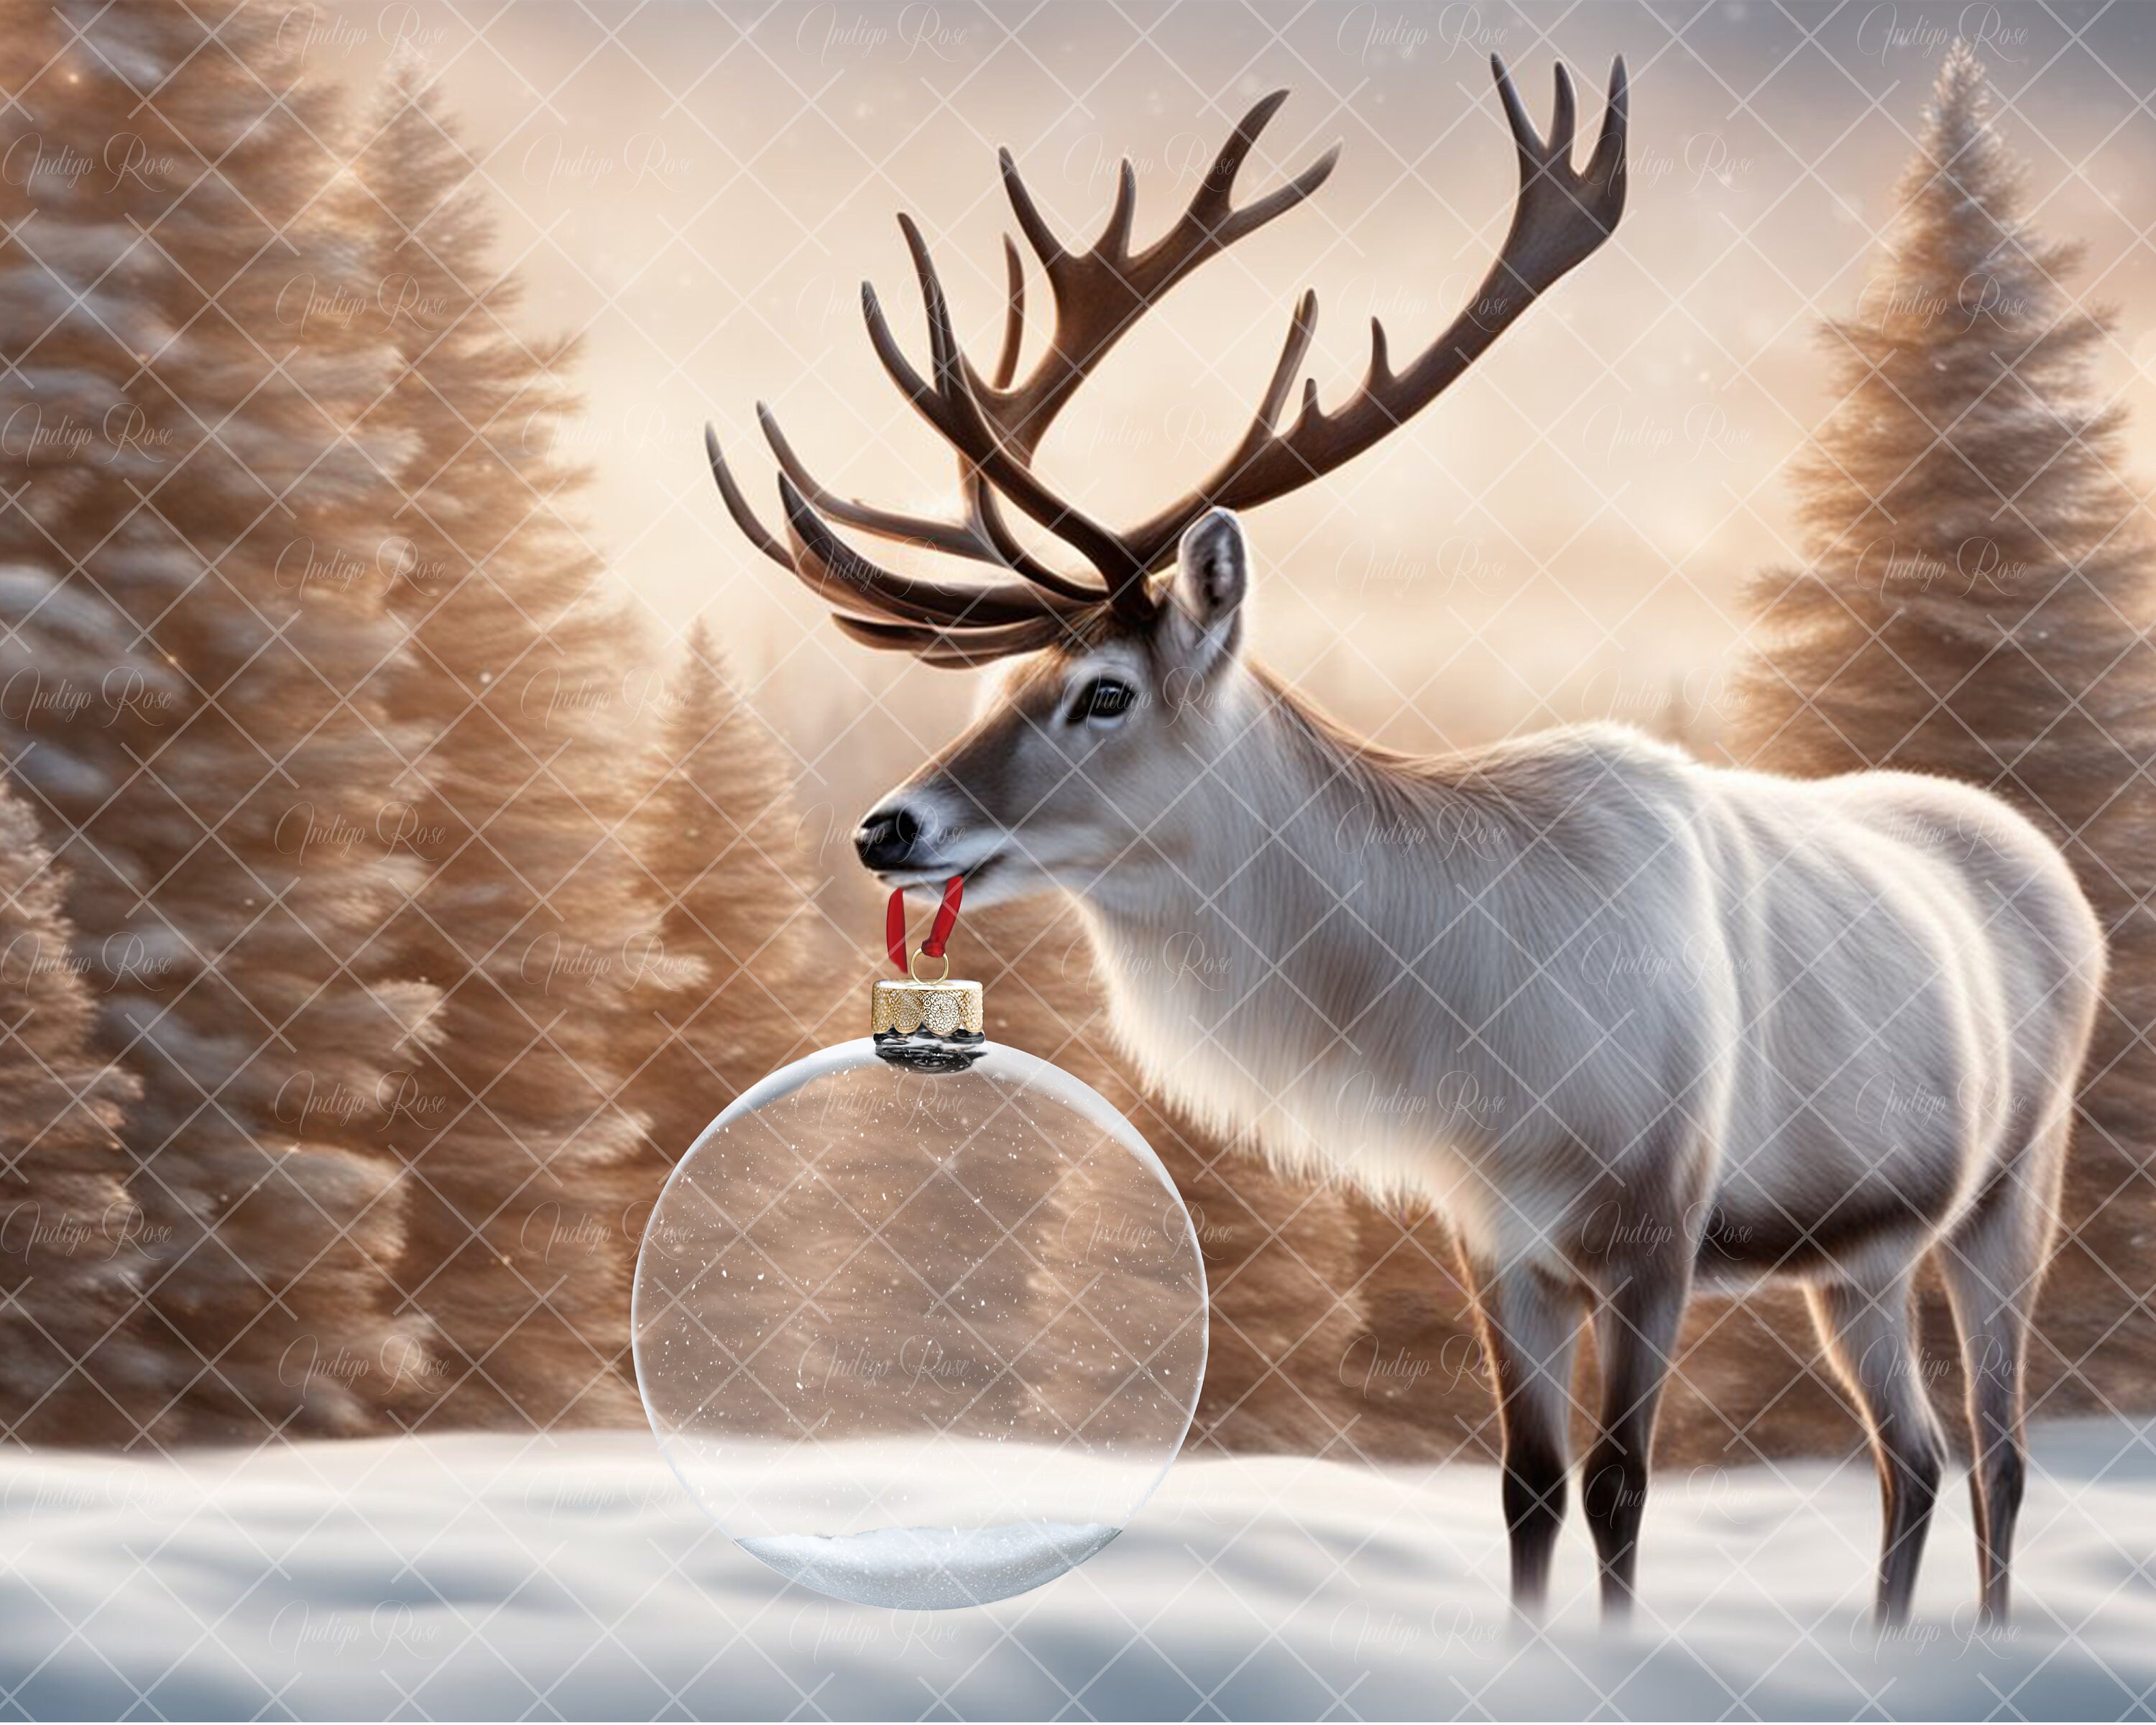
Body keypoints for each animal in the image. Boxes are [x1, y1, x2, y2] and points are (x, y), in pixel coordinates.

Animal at [704, 58, 2106, 1632]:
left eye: (1104, 691)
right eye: (996, 688)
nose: (887, 826)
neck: (1478, 1040)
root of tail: (2048, 864)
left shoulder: (1657, 1221)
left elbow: (1622, 1489)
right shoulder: (1493, 1236)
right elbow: (1526, 1490)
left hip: (2014, 1185)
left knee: (1998, 1447)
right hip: (1855, 1257)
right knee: (1910, 1453)